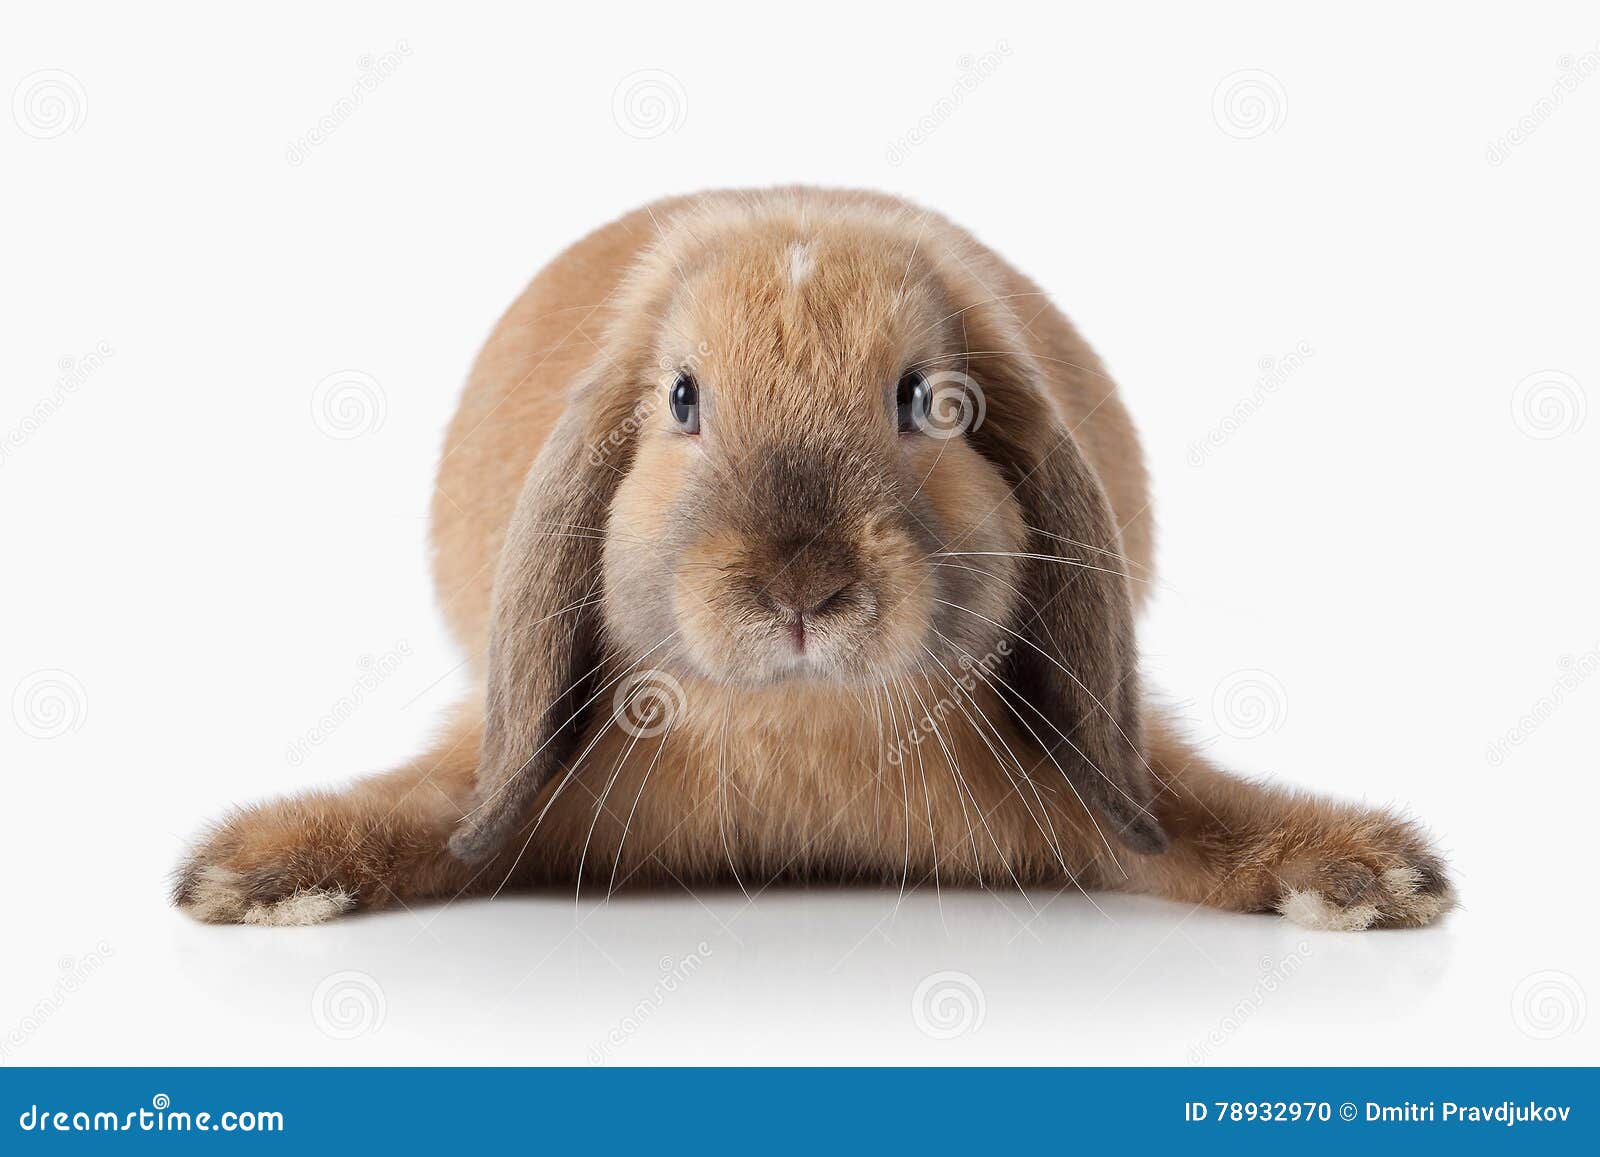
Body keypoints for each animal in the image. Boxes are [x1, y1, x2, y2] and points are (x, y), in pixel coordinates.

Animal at [173, 187, 1453, 931]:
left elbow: (1200, 823)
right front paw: (251, 872)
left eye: (930, 401)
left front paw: (1372, 874)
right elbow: (430, 815)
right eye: (681, 398)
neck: (803, 730)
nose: (800, 585)